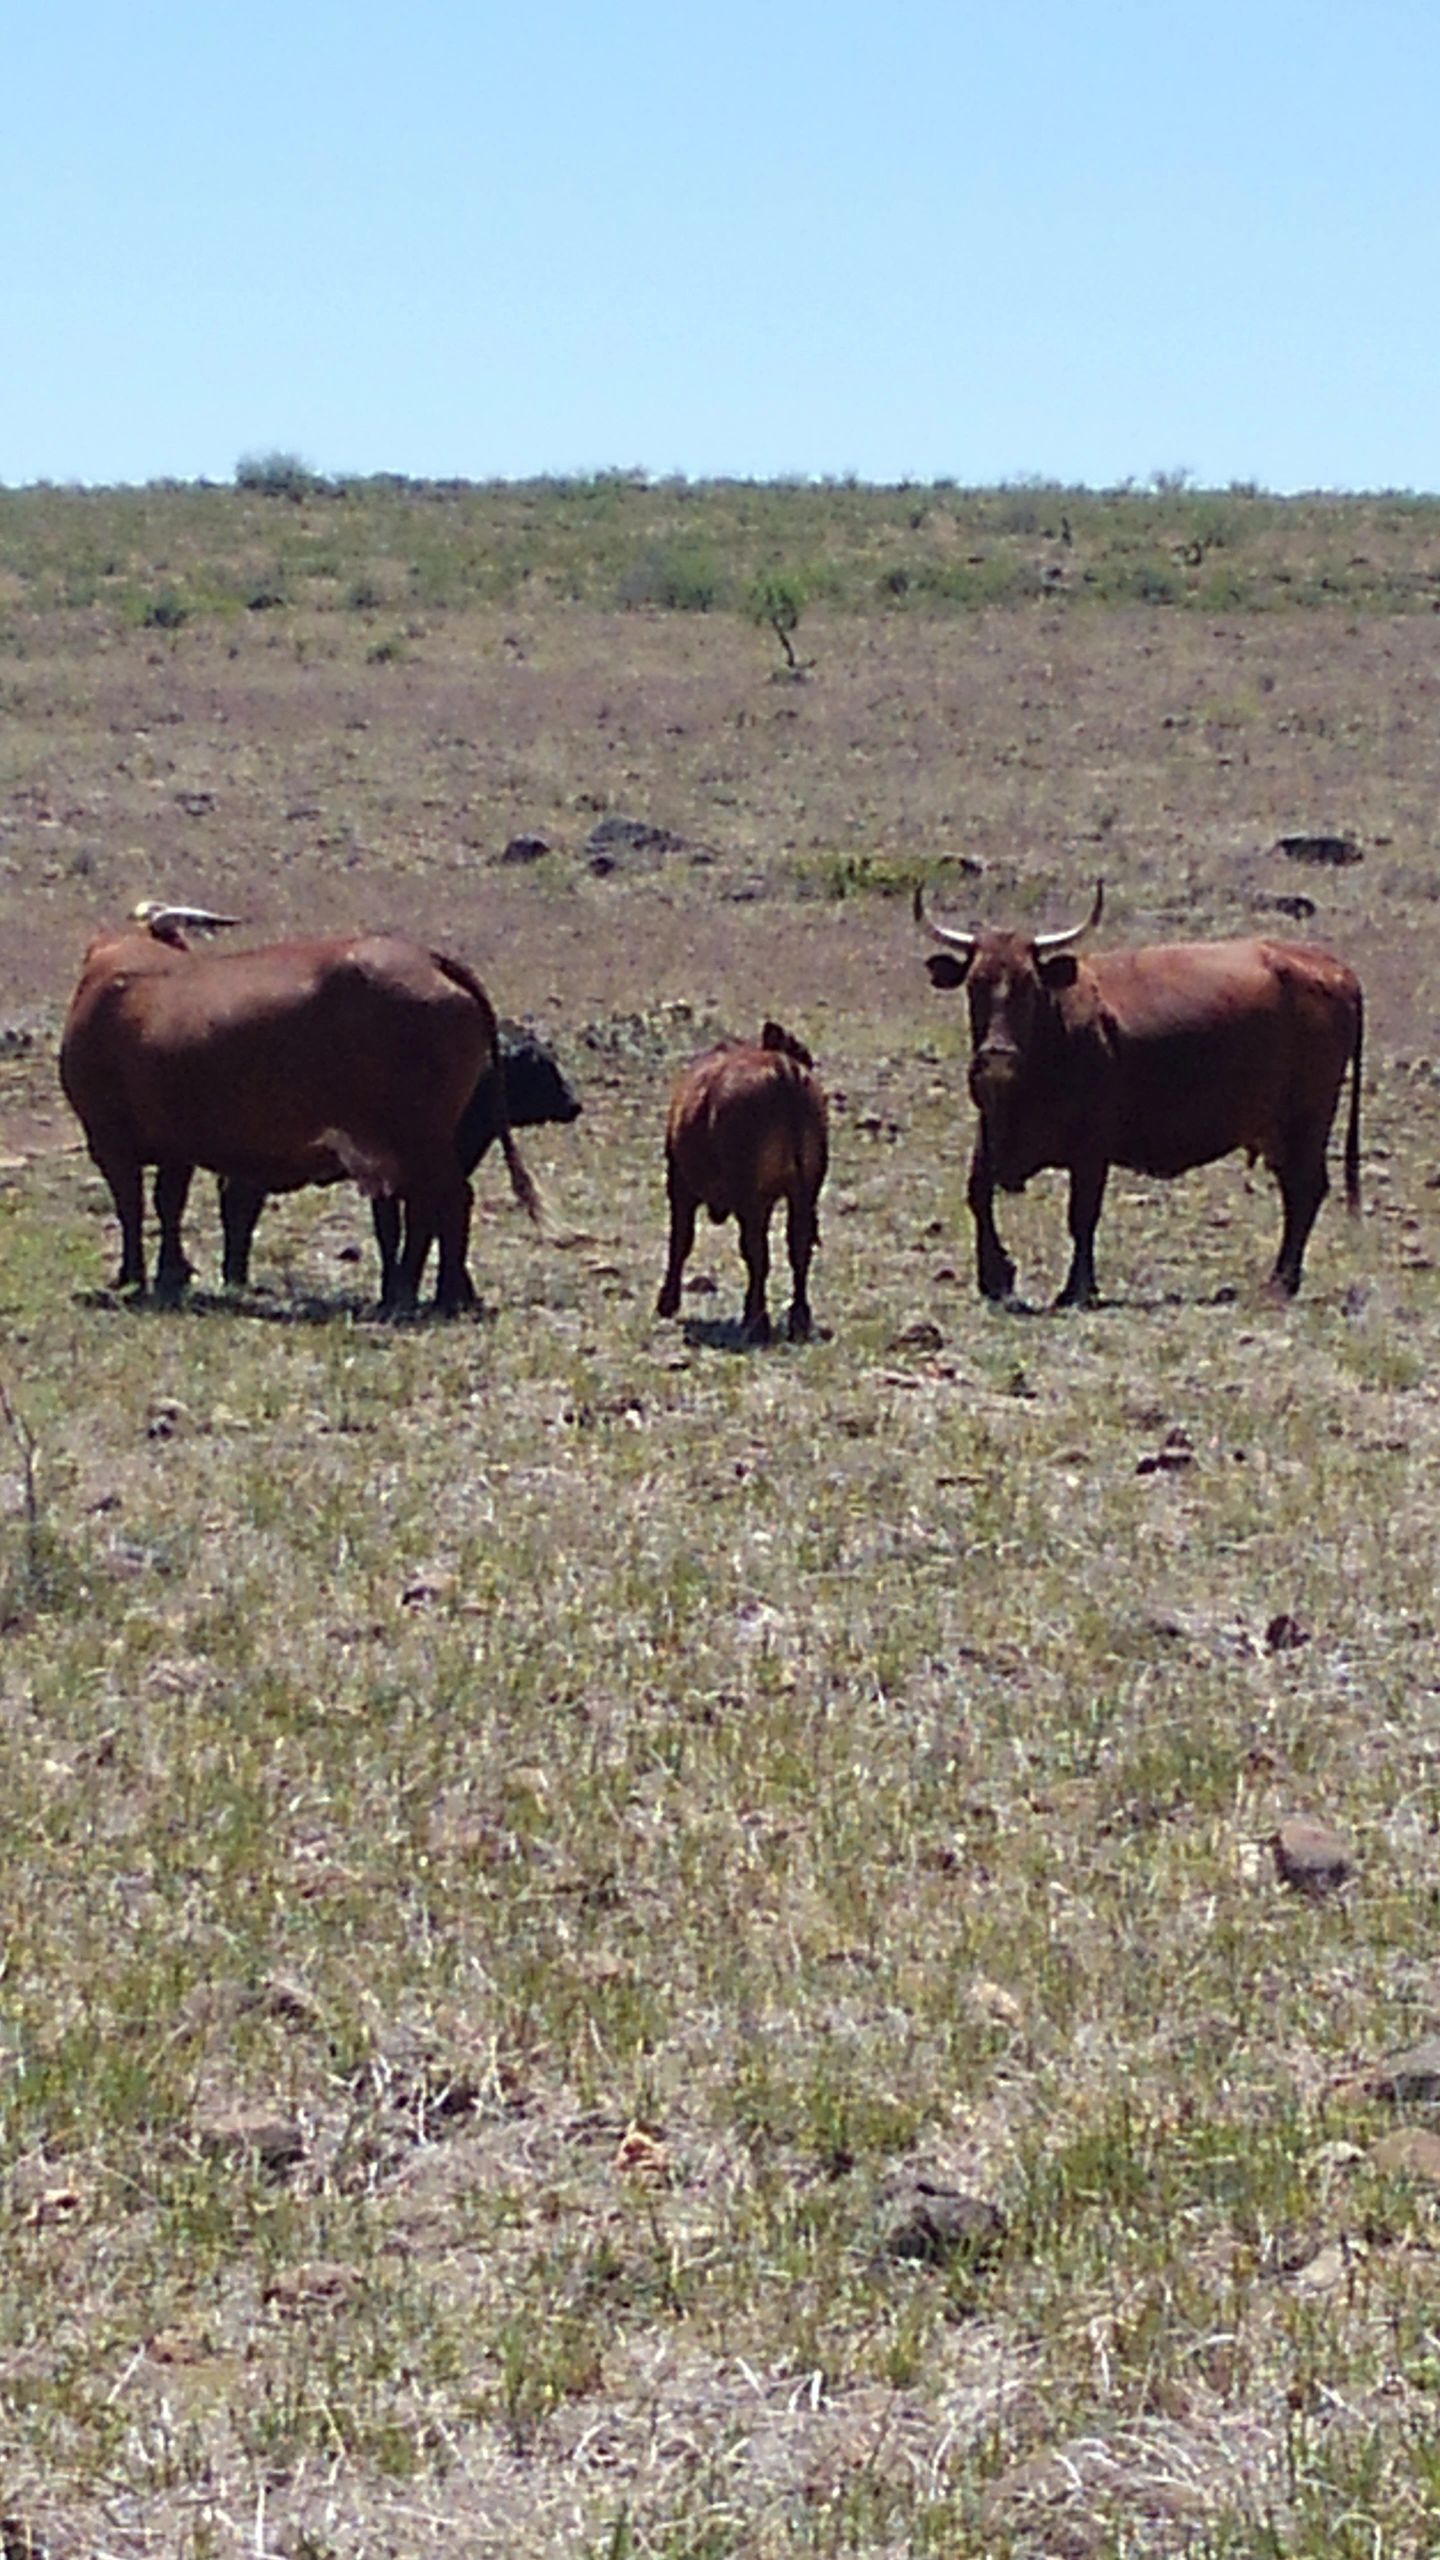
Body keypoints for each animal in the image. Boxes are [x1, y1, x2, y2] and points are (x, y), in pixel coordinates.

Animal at [59, 906, 538, 1312]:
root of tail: (431, 960)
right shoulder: (177, 1149)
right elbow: (168, 1206)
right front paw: (171, 1273)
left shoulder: (109, 1141)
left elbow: (132, 1207)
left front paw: (132, 1276)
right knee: (433, 1205)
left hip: (420, 1138)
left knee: (450, 1200)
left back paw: (444, 1295)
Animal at [656, 1021, 828, 1344]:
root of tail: (782, 1067)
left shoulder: (679, 1184)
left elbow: (680, 1240)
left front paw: (667, 1302)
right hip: (804, 1192)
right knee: (798, 1246)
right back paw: (797, 1318)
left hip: (750, 1198)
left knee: (756, 1252)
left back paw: (756, 1320)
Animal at [914, 879, 1362, 1307]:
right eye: (975, 984)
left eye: (1029, 984)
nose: (997, 1053)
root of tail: (1335, 969)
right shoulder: (989, 1131)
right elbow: (977, 1194)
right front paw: (996, 1276)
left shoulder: (1091, 1149)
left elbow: (1082, 1215)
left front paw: (1077, 1288)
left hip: (1308, 1119)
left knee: (1305, 1189)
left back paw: (1281, 1282)